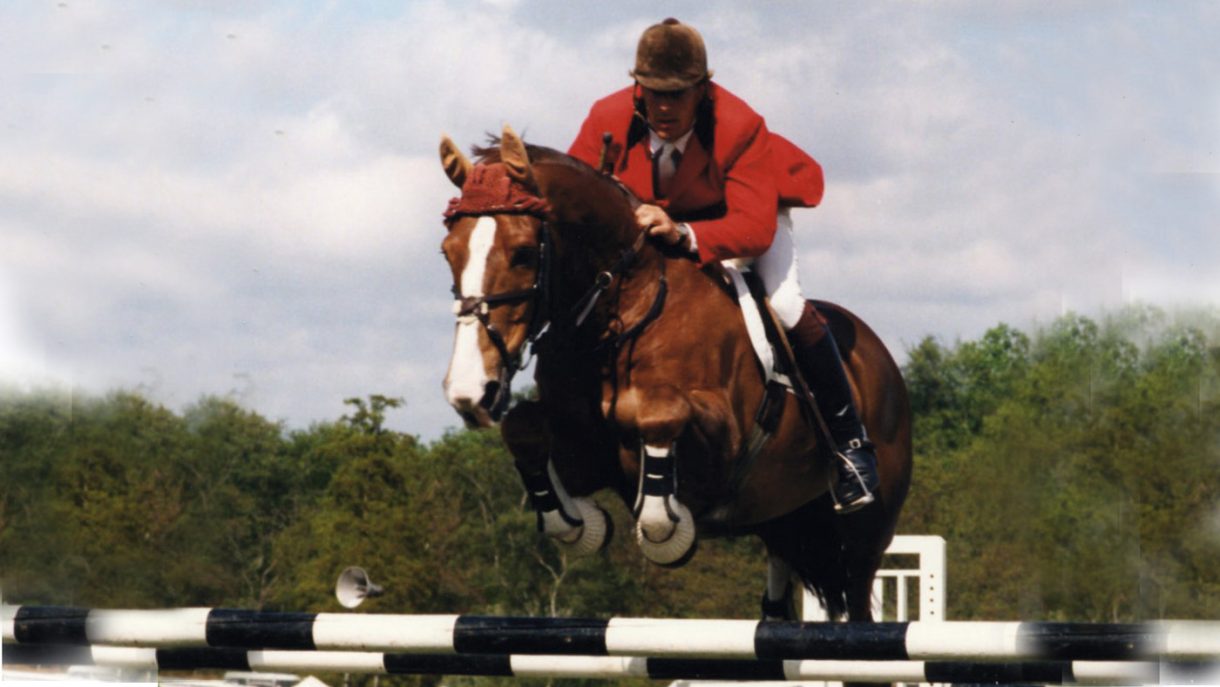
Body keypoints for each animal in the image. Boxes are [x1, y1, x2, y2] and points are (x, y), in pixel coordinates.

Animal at [438, 125, 911, 623]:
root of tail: (877, 354)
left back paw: (855, 470)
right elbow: (524, 427)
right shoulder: (583, 448)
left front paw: (667, 531)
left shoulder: (725, 443)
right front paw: (579, 520)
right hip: (782, 518)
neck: (625, 313)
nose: (470, 392)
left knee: (858, 602)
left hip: (865, 533)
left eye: (524, 253)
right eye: (447, 252)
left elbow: (660, 415)